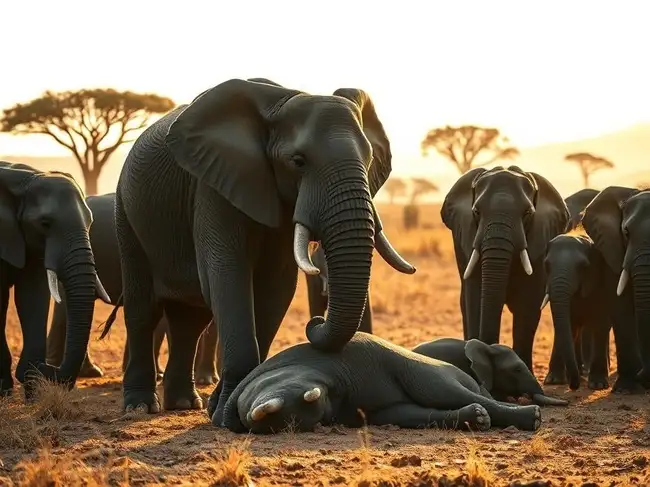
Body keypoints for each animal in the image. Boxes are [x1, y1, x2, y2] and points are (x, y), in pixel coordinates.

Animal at [0, 161, 108, 399]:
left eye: (91, 222)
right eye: (45, 223)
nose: (48, 367)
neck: (24, 178)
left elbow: (32, 297)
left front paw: (34, 391)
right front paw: (5, 389)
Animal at [101, 77, 416, 423]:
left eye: (369, 160)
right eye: (298, 162)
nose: (315, 323)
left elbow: (276, 287)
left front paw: (227, 405)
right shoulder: (214, 185)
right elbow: (227, 275)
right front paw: (225, 415)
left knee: (190, 319)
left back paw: (184, 403)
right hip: (127, 213)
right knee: (143, 308)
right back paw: (140, 407)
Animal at [540, 233, 612, 390]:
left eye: (583, 266)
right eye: (546, 265)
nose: (574, 386)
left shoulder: (602, 282)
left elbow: (600, 324)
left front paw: (598, 385)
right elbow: (568, 325)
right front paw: (553, 381)